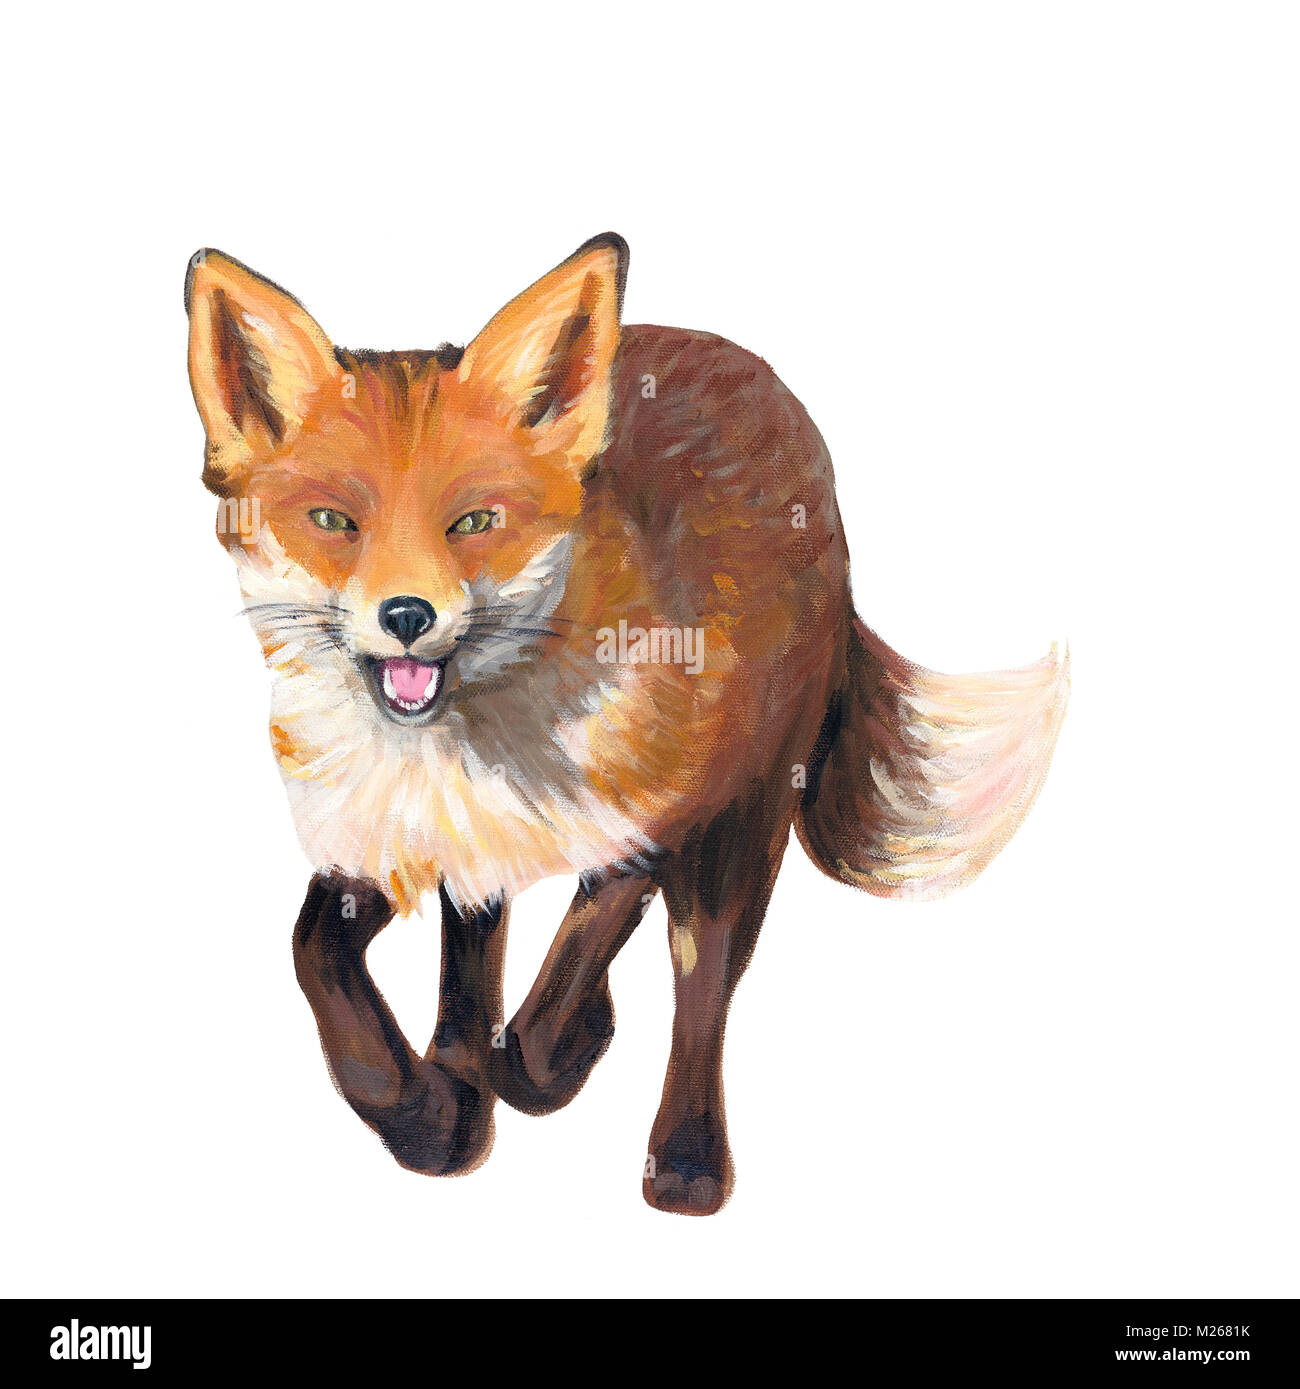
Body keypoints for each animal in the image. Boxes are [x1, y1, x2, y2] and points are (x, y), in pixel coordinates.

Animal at [185, 234, 1068, 1215]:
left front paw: (543, 1062)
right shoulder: (383, 839)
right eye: (333, 520)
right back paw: (470, 1061)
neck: (458, 749)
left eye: (474, 521)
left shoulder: (666, 805)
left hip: (749, 814)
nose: (408, 614)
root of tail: (753, 370)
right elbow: (322, 954)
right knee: (482, 936)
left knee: (700, 972)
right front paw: (429, 1112)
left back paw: (679, 1154)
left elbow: (591, 955)